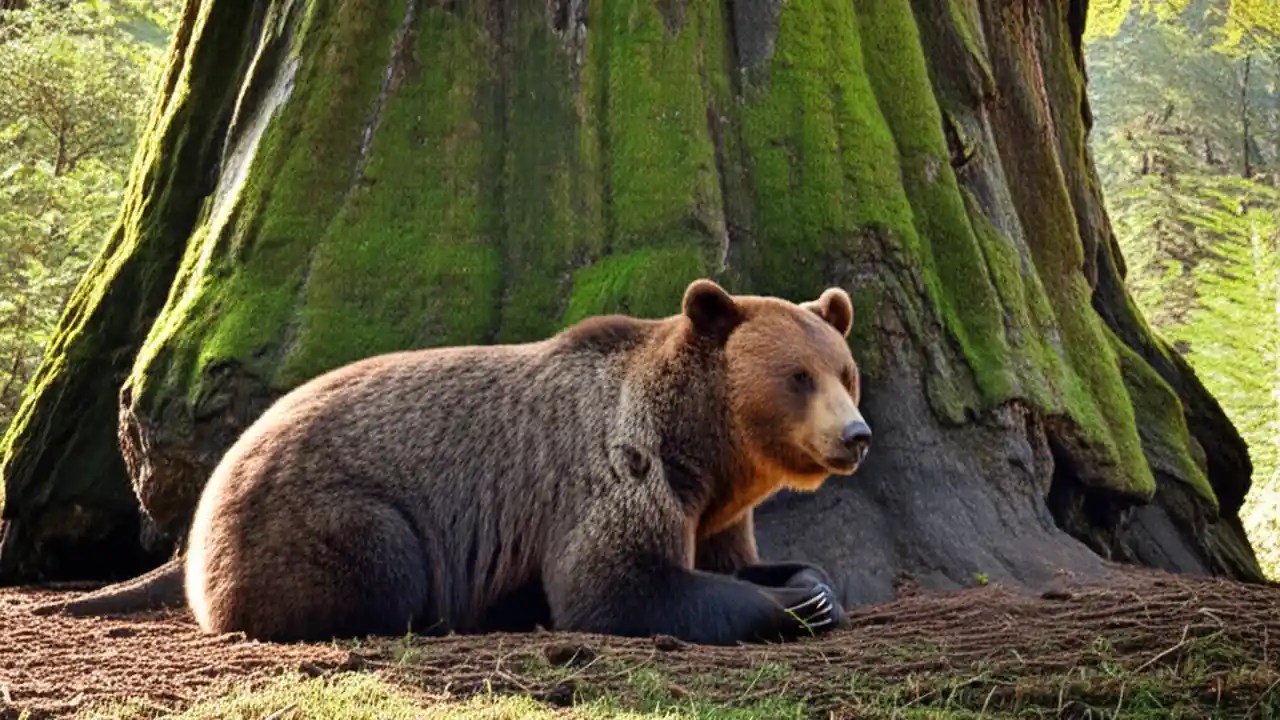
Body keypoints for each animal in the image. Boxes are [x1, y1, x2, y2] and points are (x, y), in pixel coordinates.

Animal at [35, 279, 872, 645]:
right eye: (798, 377)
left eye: (845, 371)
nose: (857, 434)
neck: (698, 449)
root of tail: (213, 482)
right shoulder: (611, 472)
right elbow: (620, 587)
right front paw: (789, 607)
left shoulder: (714, 507)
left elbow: (735, 561)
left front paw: (812, 584)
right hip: (322, 513)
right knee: (377, 566)